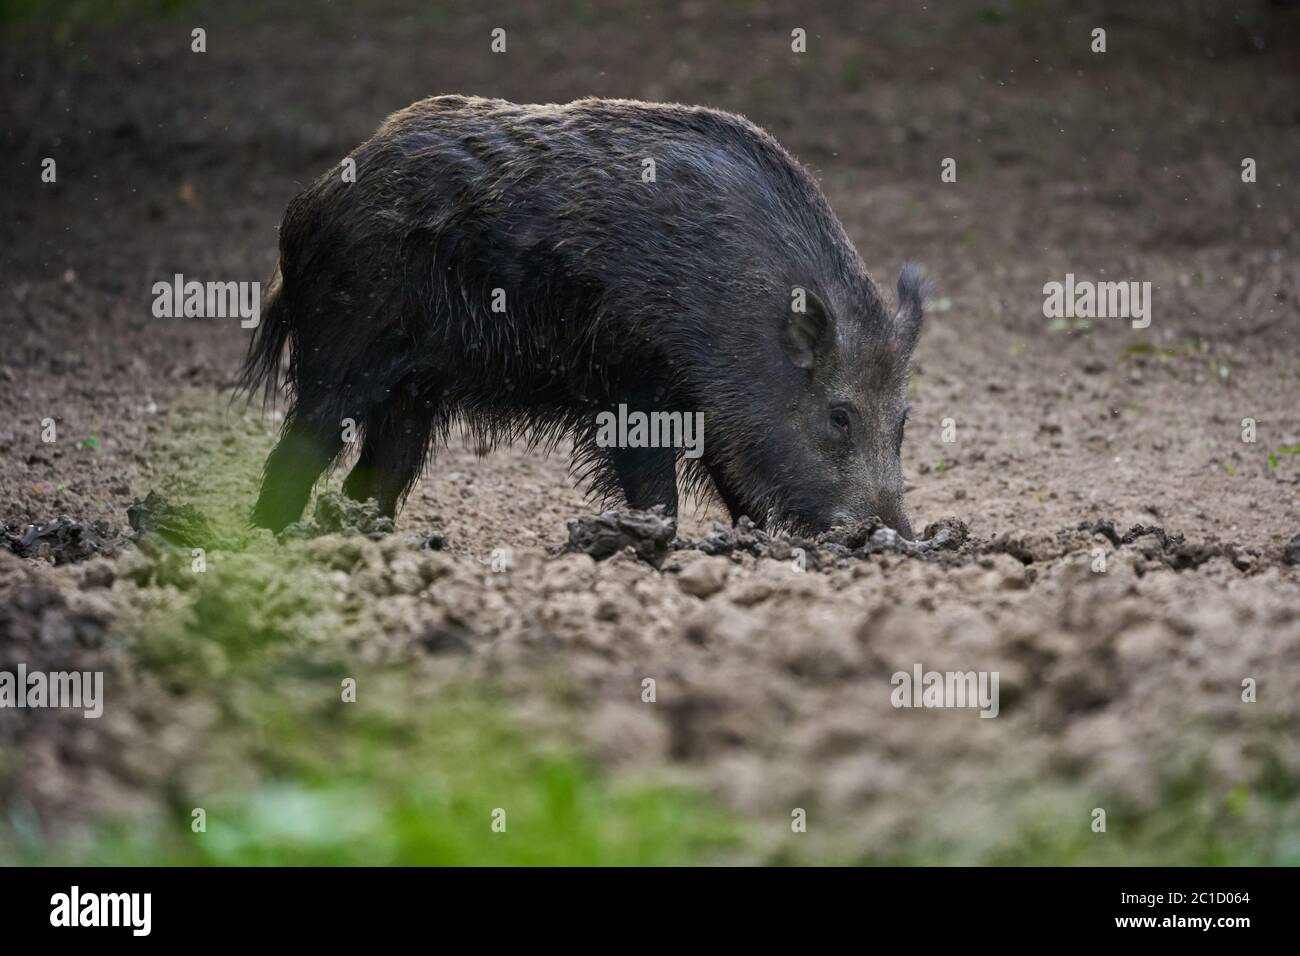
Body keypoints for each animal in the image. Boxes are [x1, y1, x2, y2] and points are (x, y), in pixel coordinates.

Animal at [241, 95, 928, 537]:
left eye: (903, 420)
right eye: (839, 415)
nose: (899, 535)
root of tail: (305, 208)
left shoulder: (715, 416)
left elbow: (735, 485)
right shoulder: (635, 389)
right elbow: (659, 493)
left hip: (413, 393)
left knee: (381, 471)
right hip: (344, 350)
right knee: (298, 451)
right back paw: (270, 540)